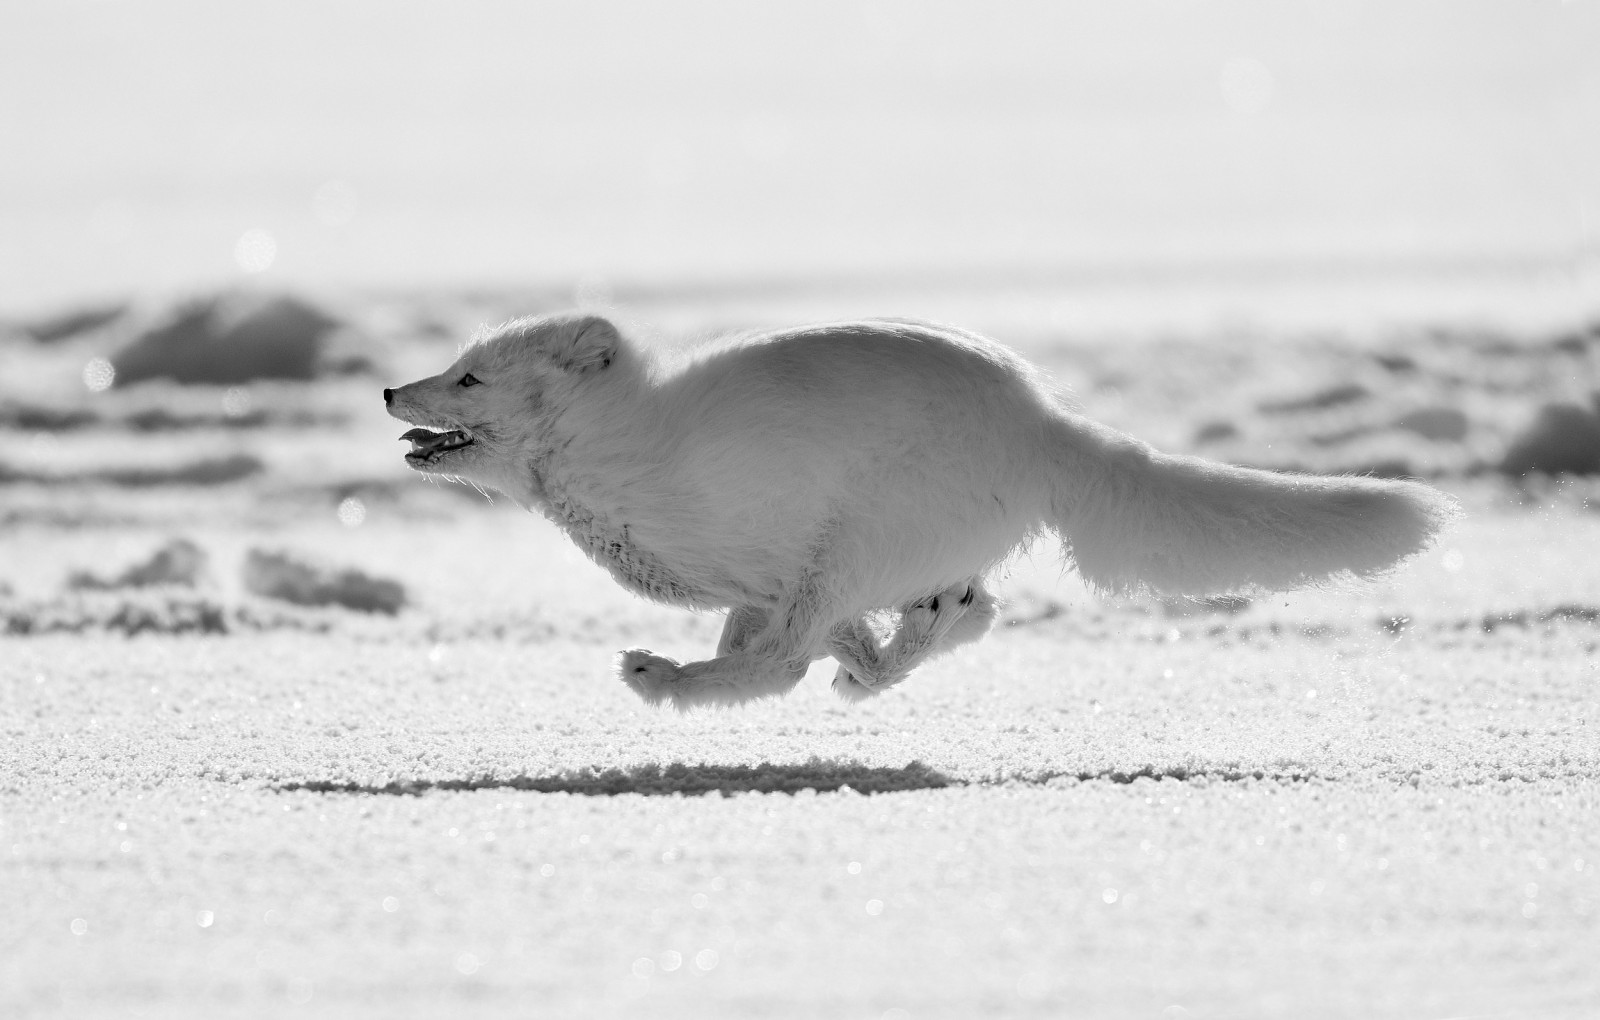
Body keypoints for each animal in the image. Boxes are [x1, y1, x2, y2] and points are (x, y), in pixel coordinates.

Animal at [384, 312, 1458, 710]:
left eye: (468, 375)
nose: (392, 390)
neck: (627, 452)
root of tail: (1042, 418)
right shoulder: (763, 578)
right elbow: (793, 636)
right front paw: (865, 658)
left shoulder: (787, 561)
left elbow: (775, 654)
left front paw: (688, 677)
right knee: (965, 613)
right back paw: (887, 658)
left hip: (870, 530)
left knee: (804, 655)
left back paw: (666, 678)